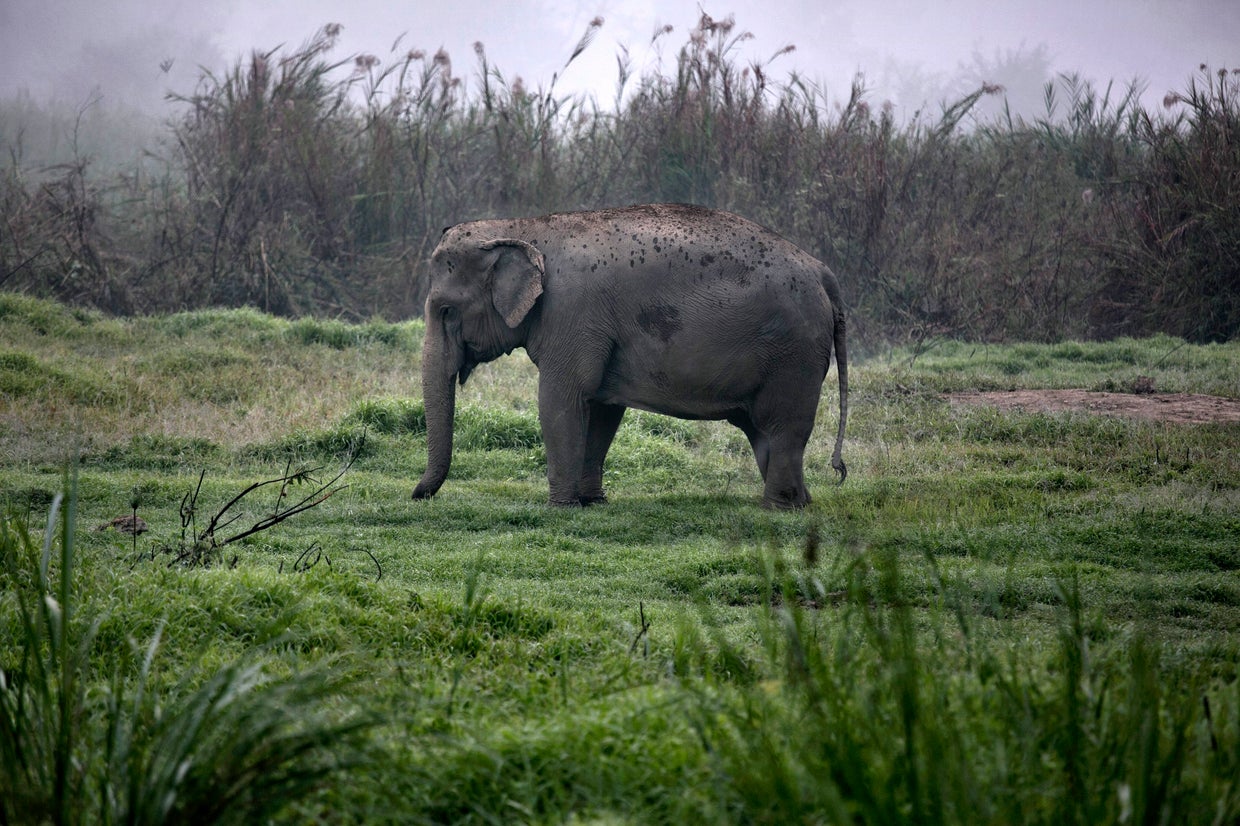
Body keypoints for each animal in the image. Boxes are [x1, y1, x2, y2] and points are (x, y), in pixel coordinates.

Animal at [412, 203, 848, 509]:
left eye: (446, 310)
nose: (417, 494)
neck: (523, 228)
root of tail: (824, 273)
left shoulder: (572, 313)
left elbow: (561, 399)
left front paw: (560, 507)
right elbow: (601, 408)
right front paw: (591, 502)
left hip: (793, 353)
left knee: (782, 426)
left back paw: (778, 507)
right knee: (764, 433)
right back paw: (801, 503)